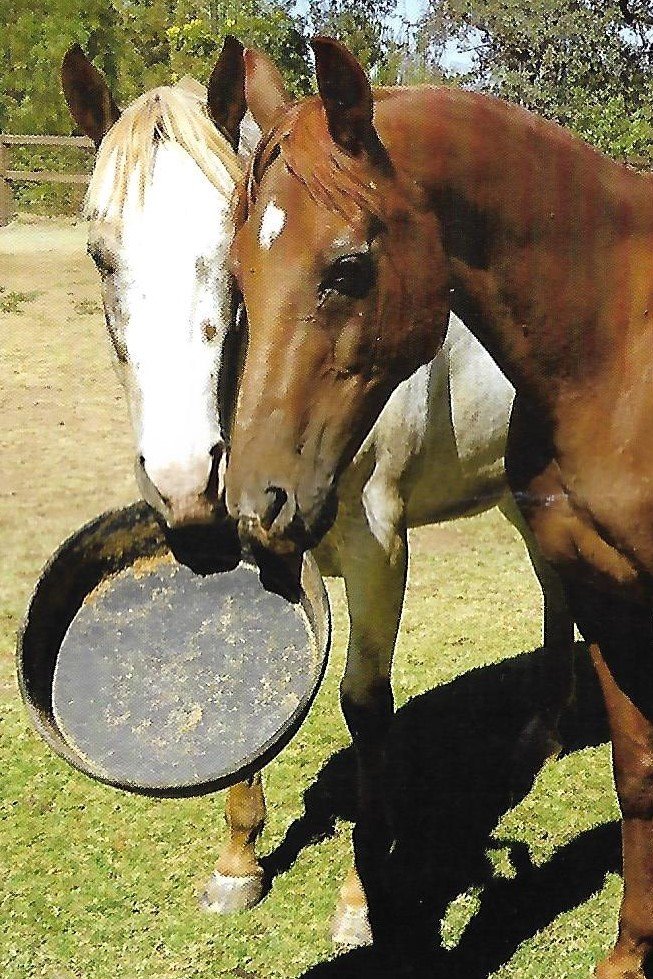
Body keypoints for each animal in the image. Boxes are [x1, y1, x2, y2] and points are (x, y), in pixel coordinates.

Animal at [61, 42, 573, 948]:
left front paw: (360, 898)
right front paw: (238, 860)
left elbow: (364, 705)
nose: (182, 475)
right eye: (100, 255)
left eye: (224, 250)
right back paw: (540, 736)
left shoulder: (379, 551)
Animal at [224, 36, 653, 978]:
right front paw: (629, 952)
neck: (616, 350)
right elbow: (637, 772)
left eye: (347, 268)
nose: (256, 505)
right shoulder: (606, 595)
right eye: (236, 274)